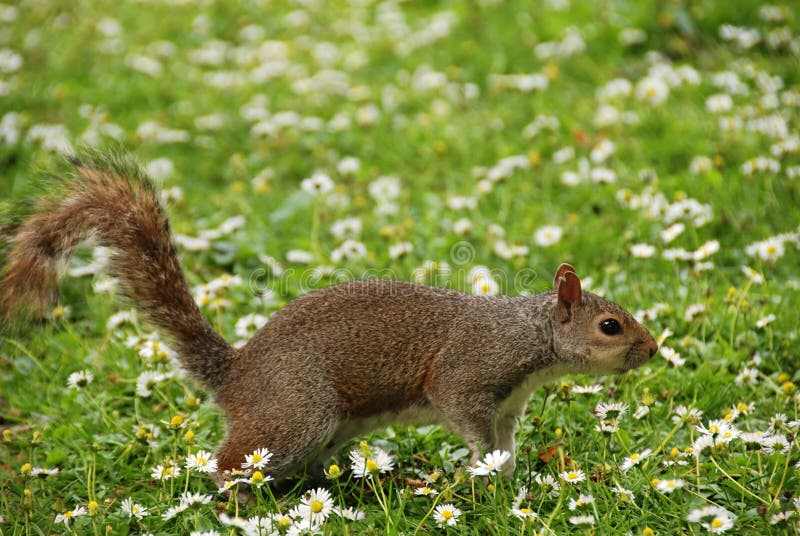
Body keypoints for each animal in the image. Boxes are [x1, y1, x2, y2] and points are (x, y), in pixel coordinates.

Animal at [0, 151, 658, 481]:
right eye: (610, 326)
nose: (654, 352)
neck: (528, 335)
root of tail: (236, 375)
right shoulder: (469, 378)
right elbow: (469, 425)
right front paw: (482, 476)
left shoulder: (508, 405)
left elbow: (505, 443)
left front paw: (509, 475)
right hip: (298, 413)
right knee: (231, 465)